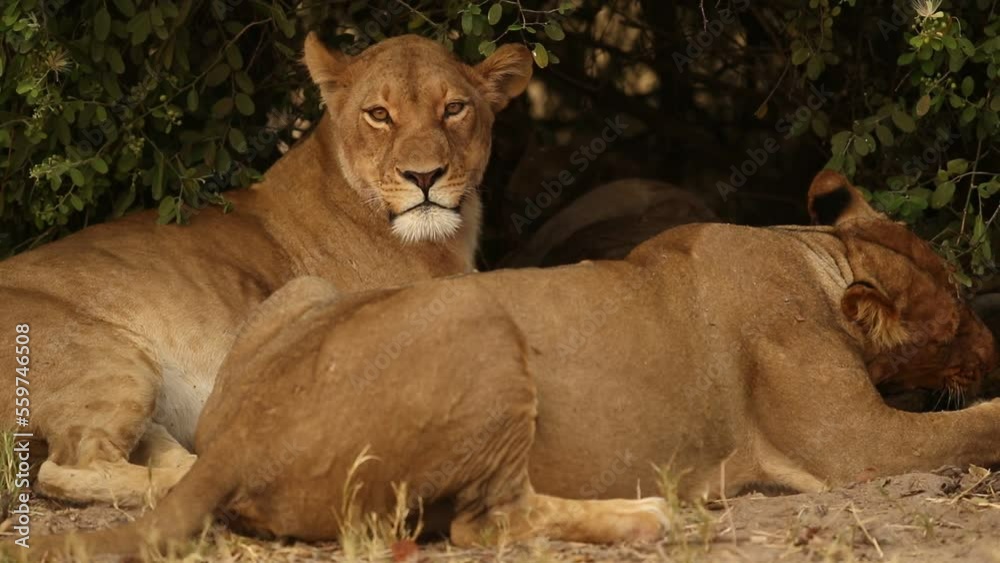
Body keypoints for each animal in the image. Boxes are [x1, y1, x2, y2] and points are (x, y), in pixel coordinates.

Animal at [18, 171, 999, 559]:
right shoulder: (849, 443)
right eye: (956, 303)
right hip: (485, 322)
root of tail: (235, 442)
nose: (994, 339)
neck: (818, 253)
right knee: (481, 522)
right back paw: (648, 517)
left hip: (305, 291)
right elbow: (973, 424)